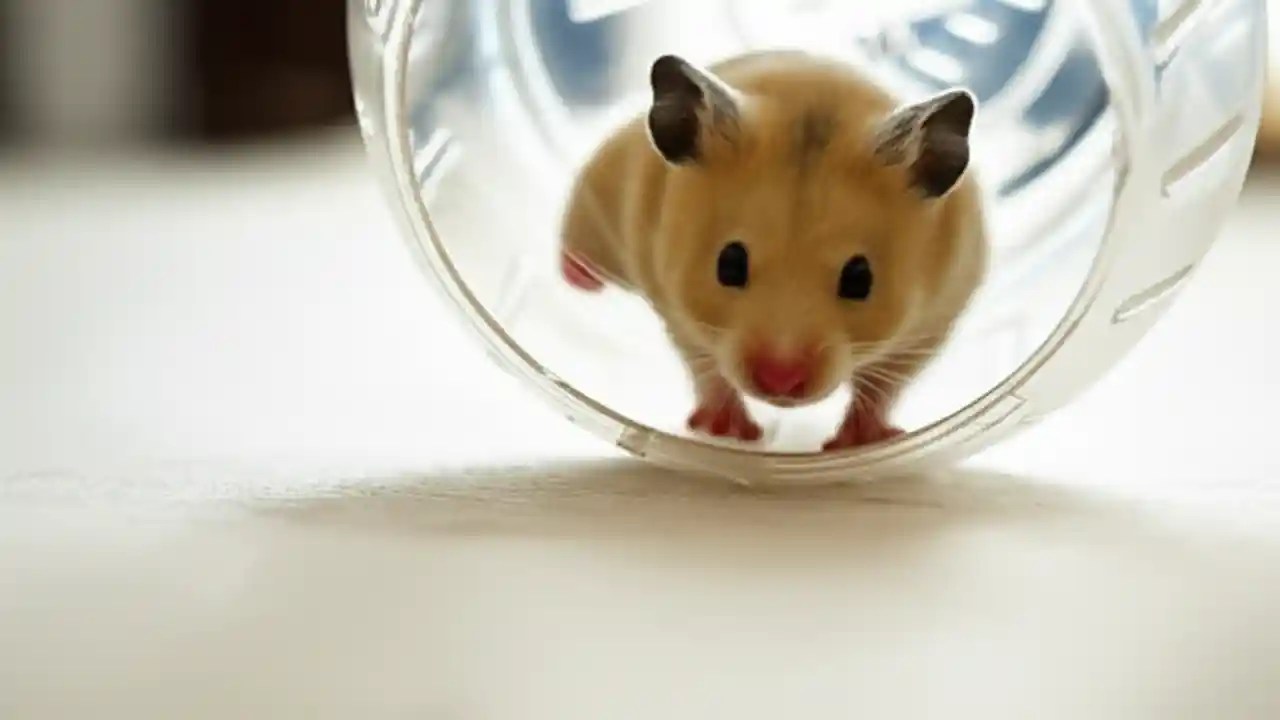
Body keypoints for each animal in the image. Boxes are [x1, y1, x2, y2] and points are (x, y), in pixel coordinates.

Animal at [559, 51, 988, 451]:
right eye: (729, 264)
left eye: (860, 278)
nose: (779, 381)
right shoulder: (676, 311)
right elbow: (706, 369)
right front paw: (730, 433)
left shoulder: (931, 324)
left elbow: (882, 388)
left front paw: (859, 443)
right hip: (599, 193)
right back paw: (577, 277)